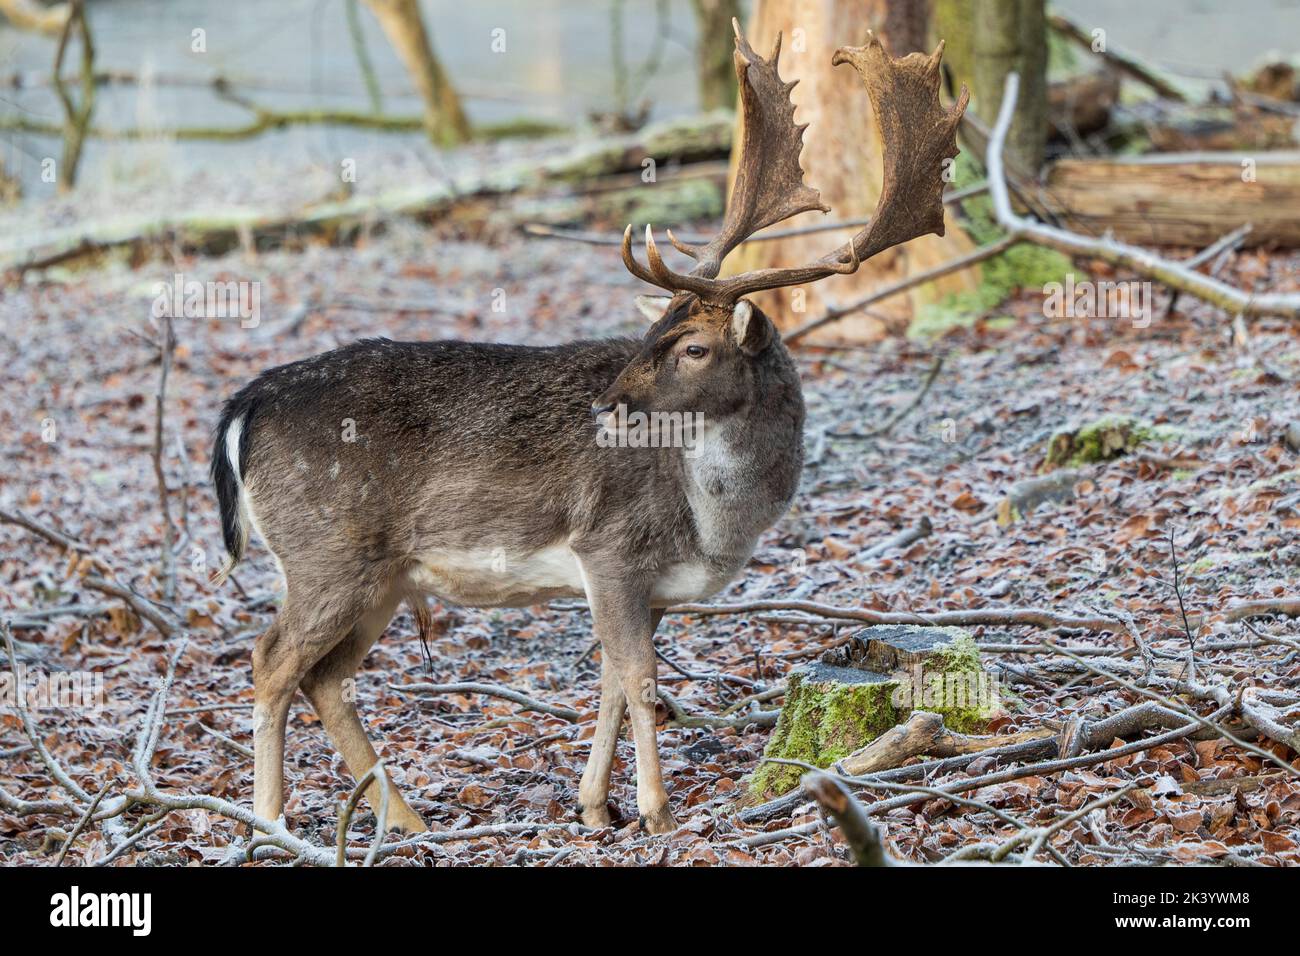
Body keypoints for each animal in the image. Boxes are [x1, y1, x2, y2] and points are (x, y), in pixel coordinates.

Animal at [210, 20, 966, 837]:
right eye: (655, 332)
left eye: (693, 346)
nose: (605, 405)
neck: (713, 522)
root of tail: (243, 406)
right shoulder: (607, 546)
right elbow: (639, 681)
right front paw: (657, 811)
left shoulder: (647, 583)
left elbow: (610, 680)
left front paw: (597, 805)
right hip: (326, 550)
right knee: (270, 659)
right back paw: (271, 819)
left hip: (379, 573)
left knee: (324, 677)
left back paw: (404, 821)